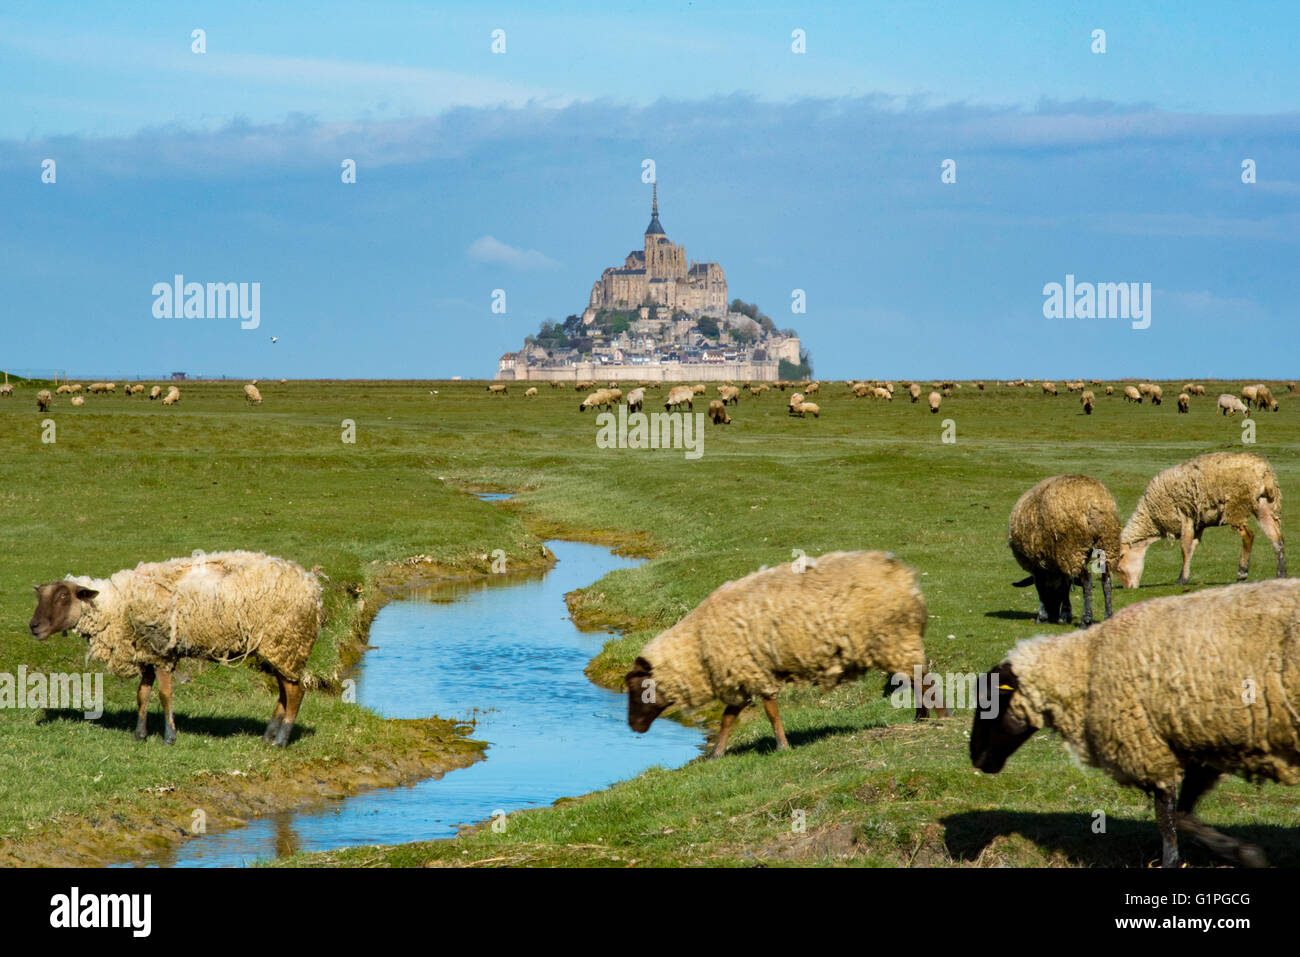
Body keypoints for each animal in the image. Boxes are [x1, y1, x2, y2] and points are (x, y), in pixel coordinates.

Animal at [28, 550, 323, 747]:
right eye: (40, 596)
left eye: (63, 596)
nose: (33, 627)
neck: (117, 605)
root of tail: (313, 586)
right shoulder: (146, 653)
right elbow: (142, 695)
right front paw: (140, 734)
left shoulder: (162, 654)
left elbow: (164, 696)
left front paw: (169, 736)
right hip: (278, 649)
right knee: (284, 691)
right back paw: (268, 735)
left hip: (287, 641)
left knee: (296, 691)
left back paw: (281, 740)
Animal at [625, 551, 948, 757]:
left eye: (638, 687)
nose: (632, 727)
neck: (697, 645)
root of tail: (907, 578)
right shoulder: (742, 674)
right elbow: (728, 719)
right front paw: (716, 753)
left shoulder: (751, 671)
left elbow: (769, 711)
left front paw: (782, 746)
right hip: (894, 643)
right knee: (916, 680)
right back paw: (921, 718)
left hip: (896, 639)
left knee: (924, 680)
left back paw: (942, 719)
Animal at [970, 579, 1300, 868]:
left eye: (989, 701)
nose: (975, 759)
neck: (1085, 666)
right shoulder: (1204, 740)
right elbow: (1183, 814)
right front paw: (1245, 853)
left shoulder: (1151, 745)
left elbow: (1166, 815)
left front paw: (1172, 860)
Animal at [1007, 474, 1119, 627]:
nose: (1053, 614)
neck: (1052, 570)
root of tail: (1092, 503)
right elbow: (1066, 585)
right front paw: (1065, 615)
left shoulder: (1040, 564)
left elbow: (1041, 587)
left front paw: (1042, 617)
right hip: (1107, 544)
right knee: (1106, 579)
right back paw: (1108, 615)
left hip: (1073, 549)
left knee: (1087, 580)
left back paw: (1086, 620)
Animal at [1117, 452, 1284, 588]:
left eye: (1119, 564)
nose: (1128, 588)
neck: (1151, 519)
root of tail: (1265, 473)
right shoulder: (1198, 525)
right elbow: (1191, 548)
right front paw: (1183, 575)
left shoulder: (1185, 516)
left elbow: (1184, 549)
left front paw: (1182, 580)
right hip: (1265, 506)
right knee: (1277, 538)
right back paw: (1281, 573)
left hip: (1237, 505)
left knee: (1249, 535)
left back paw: (1242, 572)